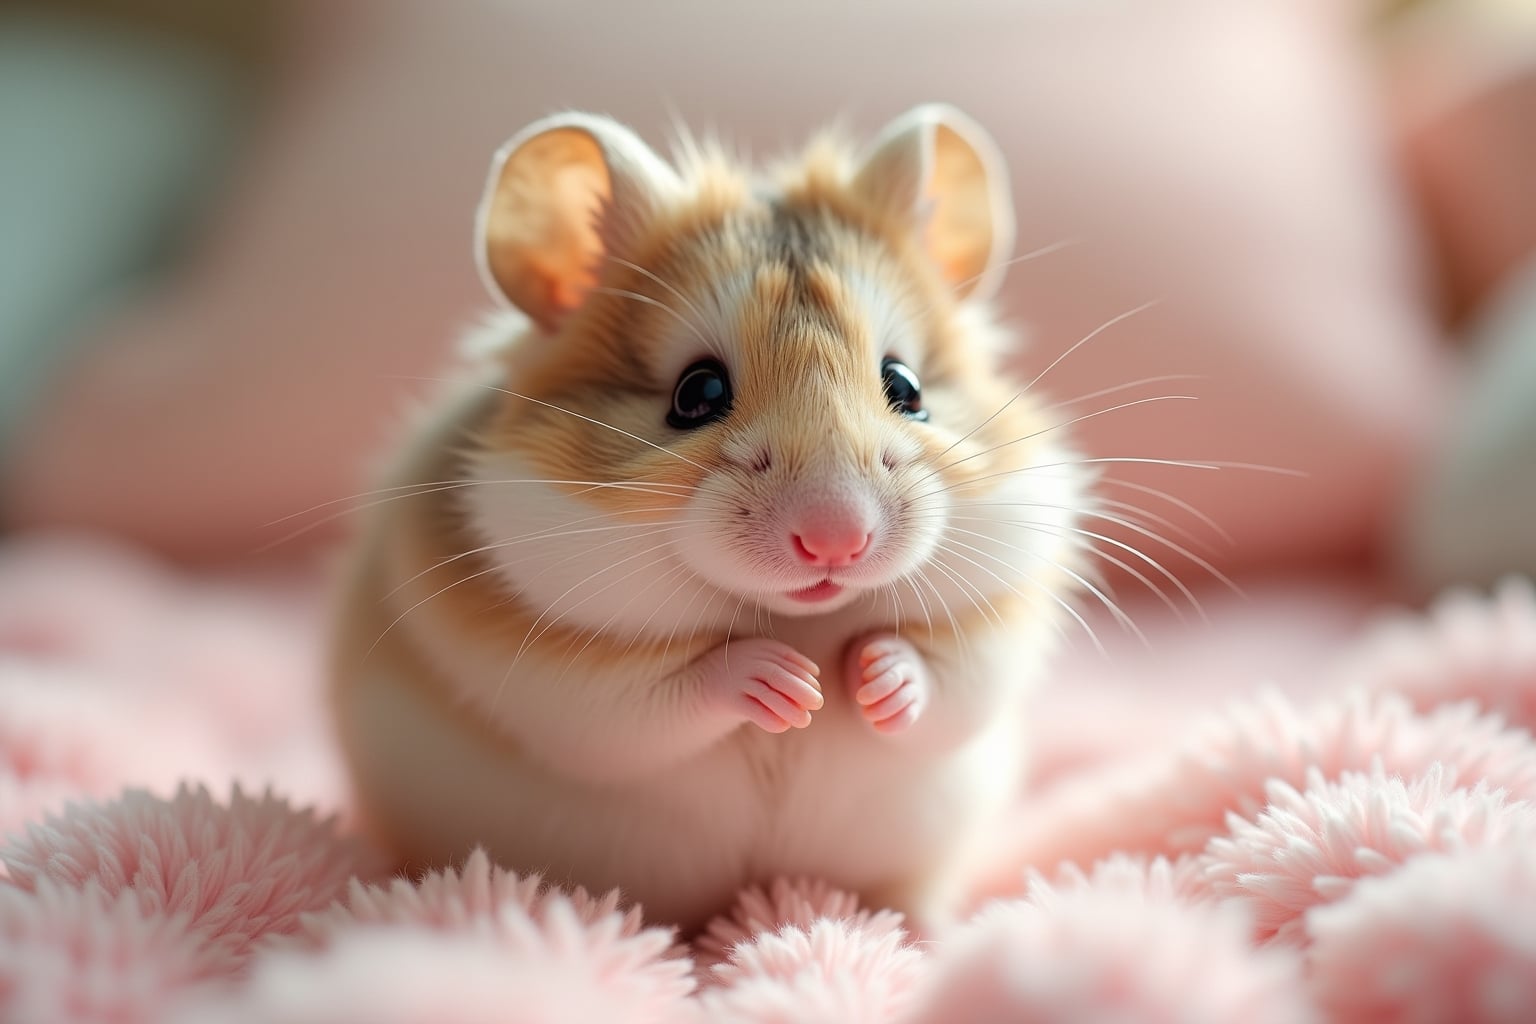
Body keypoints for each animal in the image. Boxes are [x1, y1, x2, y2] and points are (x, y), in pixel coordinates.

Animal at [329, 104, 1092, 934]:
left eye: (907, 387)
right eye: (696, 393)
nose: (837, 541)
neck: (796, 616)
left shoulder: (999, 625)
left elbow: (951, 679)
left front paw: (869, 678)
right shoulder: (558, 679)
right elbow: (659, 697)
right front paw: (788, 687)